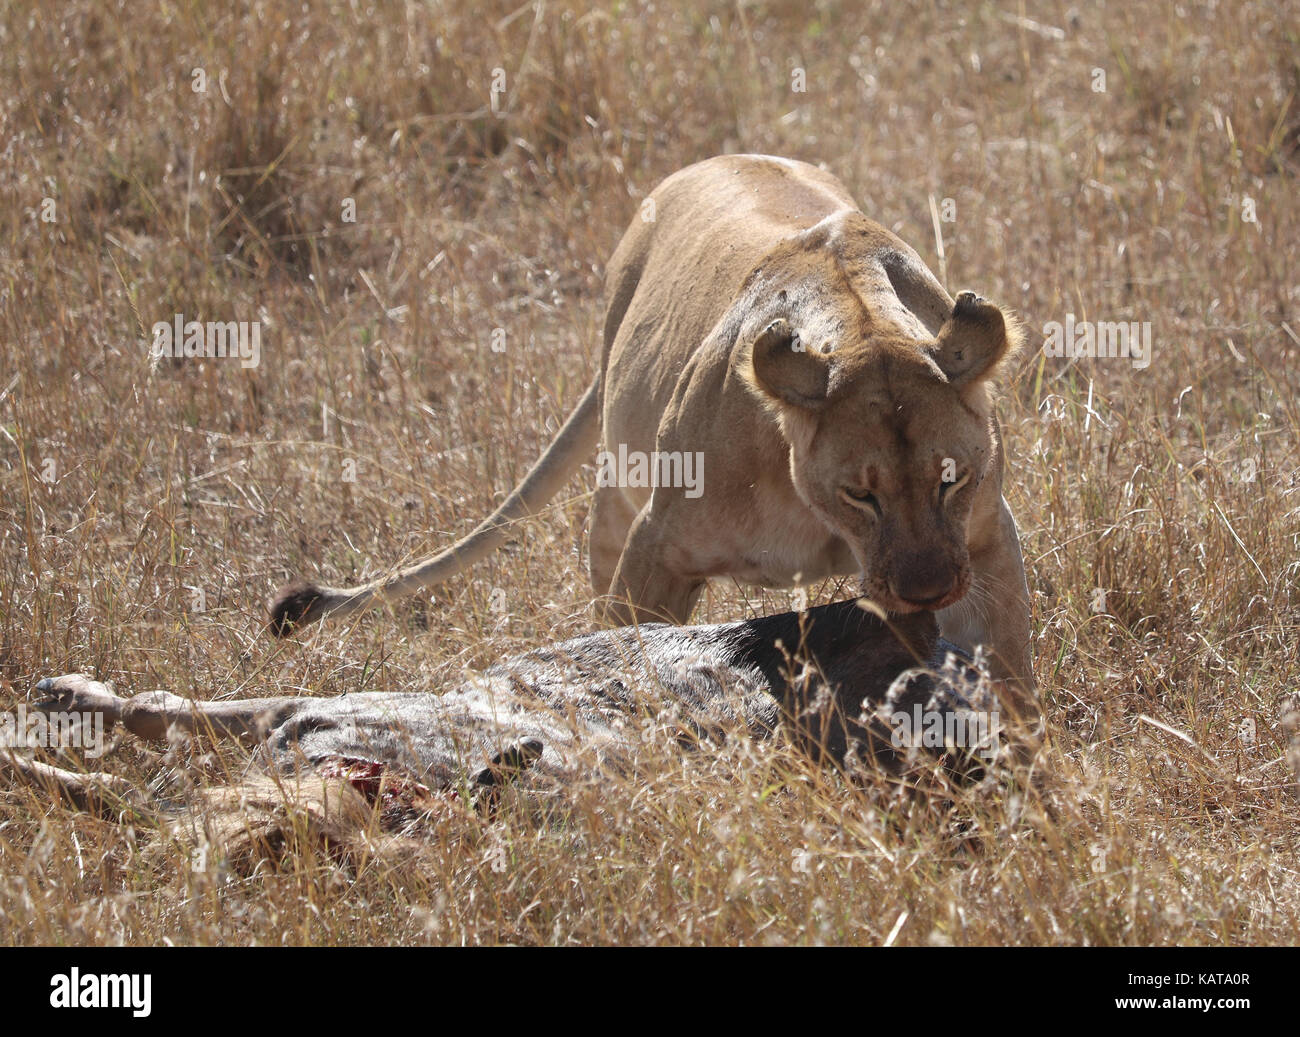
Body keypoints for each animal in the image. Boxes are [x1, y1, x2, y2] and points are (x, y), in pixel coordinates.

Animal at [271, 155, 1037, 724]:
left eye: (952, 479)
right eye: (860, 494)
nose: (926, 590)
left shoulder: (983, 541)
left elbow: (1009, 678)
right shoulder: (657, 547)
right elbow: (626, 652)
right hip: (618, 486)